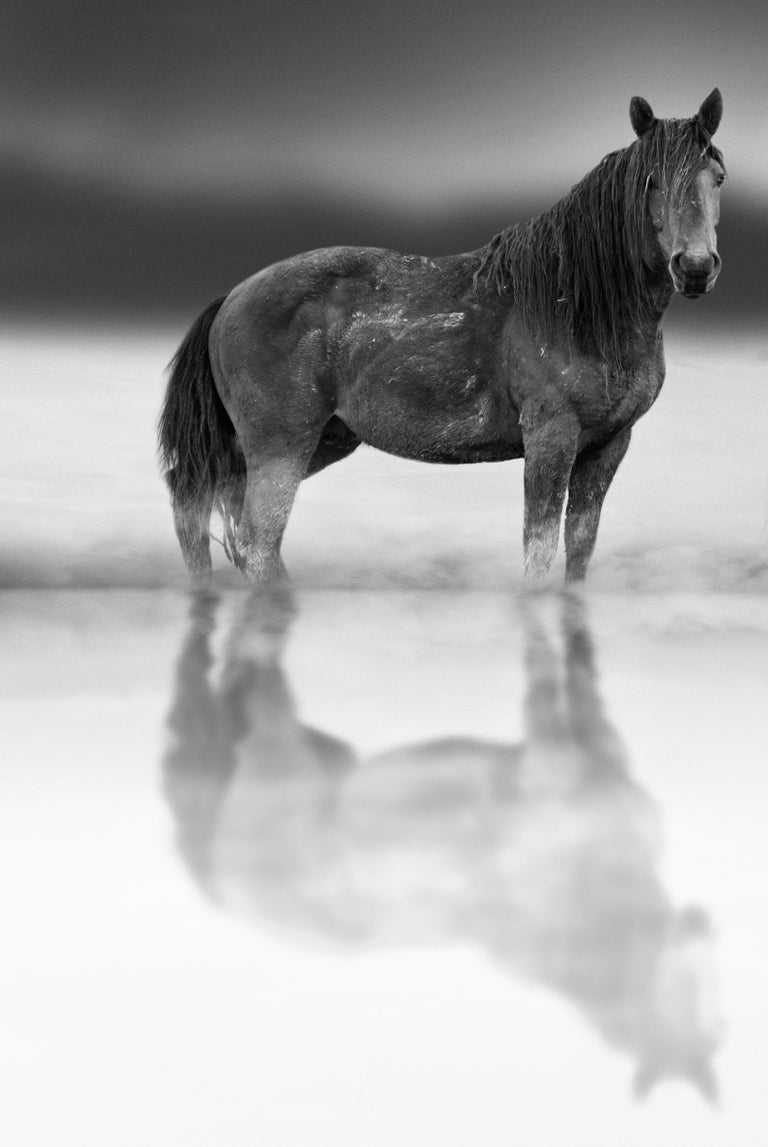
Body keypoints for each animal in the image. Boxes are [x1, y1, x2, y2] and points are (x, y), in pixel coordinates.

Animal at [158, 90, 725, 585]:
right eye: (650, 180)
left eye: (716, 177)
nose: (695, 267)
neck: (576, 306)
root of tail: (232, 297)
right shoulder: (551, 439)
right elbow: (538, 551)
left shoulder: (607, 446)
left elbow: (578, 550)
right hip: (281, 447)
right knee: (256, 543)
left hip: (306, 443)